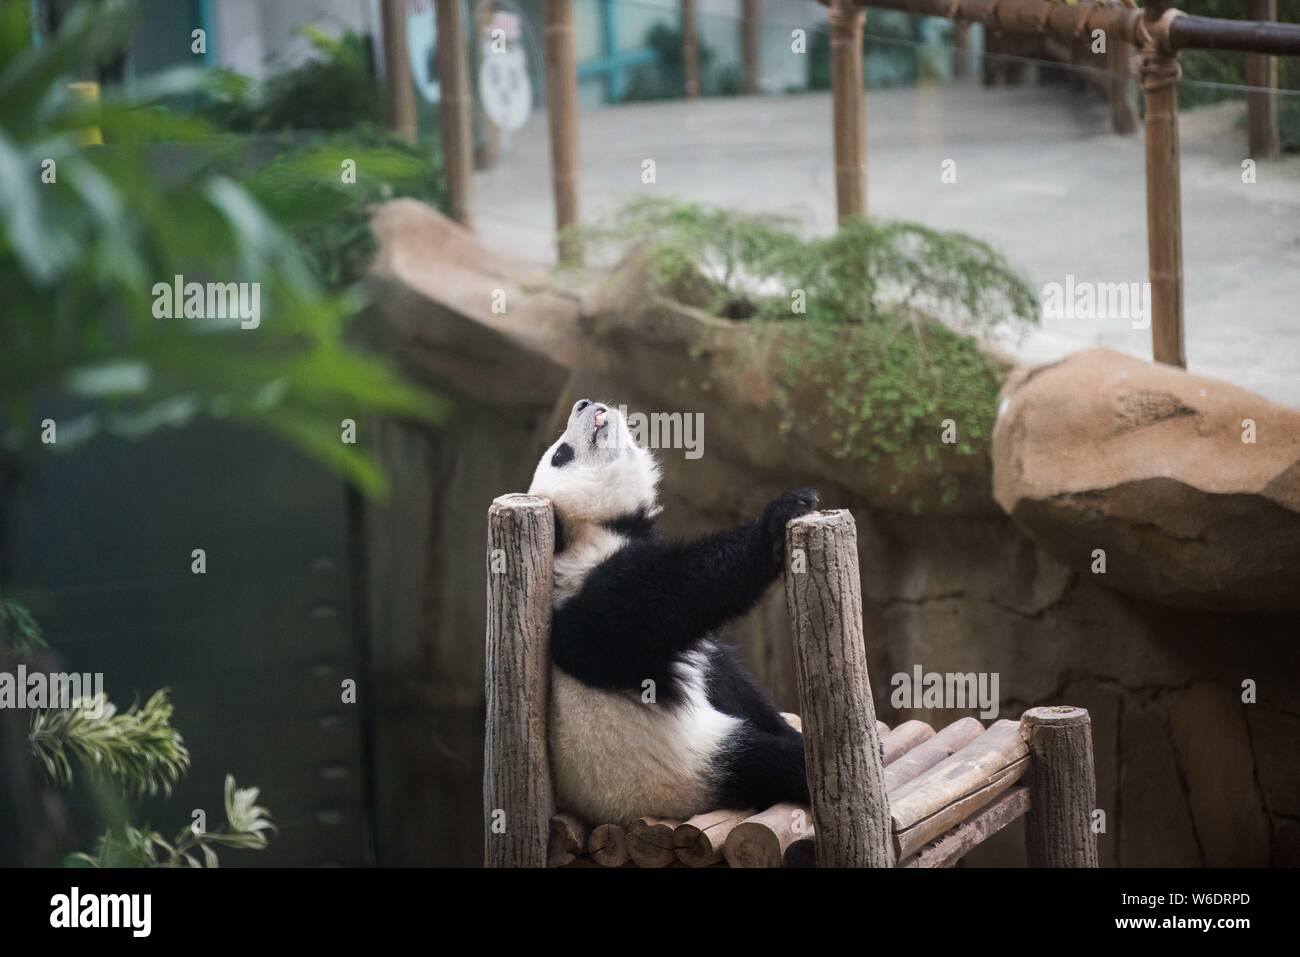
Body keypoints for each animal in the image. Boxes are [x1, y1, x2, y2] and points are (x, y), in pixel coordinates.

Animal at [528, 397, 819, 825]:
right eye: (562, 455)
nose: (584, 403)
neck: (596, 530)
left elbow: (728, 676)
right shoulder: (595, 601)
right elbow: (685, 587)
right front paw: (781, 513)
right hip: (684, 770)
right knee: (761, 762)